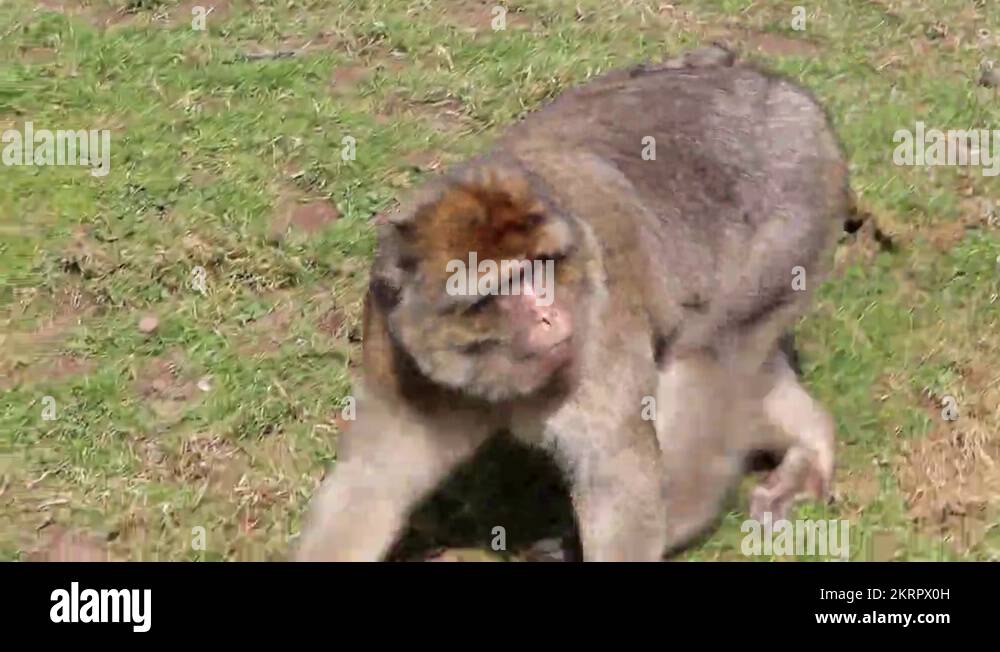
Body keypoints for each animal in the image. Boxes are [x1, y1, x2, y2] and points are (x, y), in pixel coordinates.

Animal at [293, 45, 849, 561]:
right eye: (498, 290)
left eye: (541, 269)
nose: (549, 314)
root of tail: (786, 92)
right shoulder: (396, 351)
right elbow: (372, 480)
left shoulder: (596, 334)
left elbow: (618, 477)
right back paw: (812, 437)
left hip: (785, 237)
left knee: (708, 359)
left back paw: (684, 513)